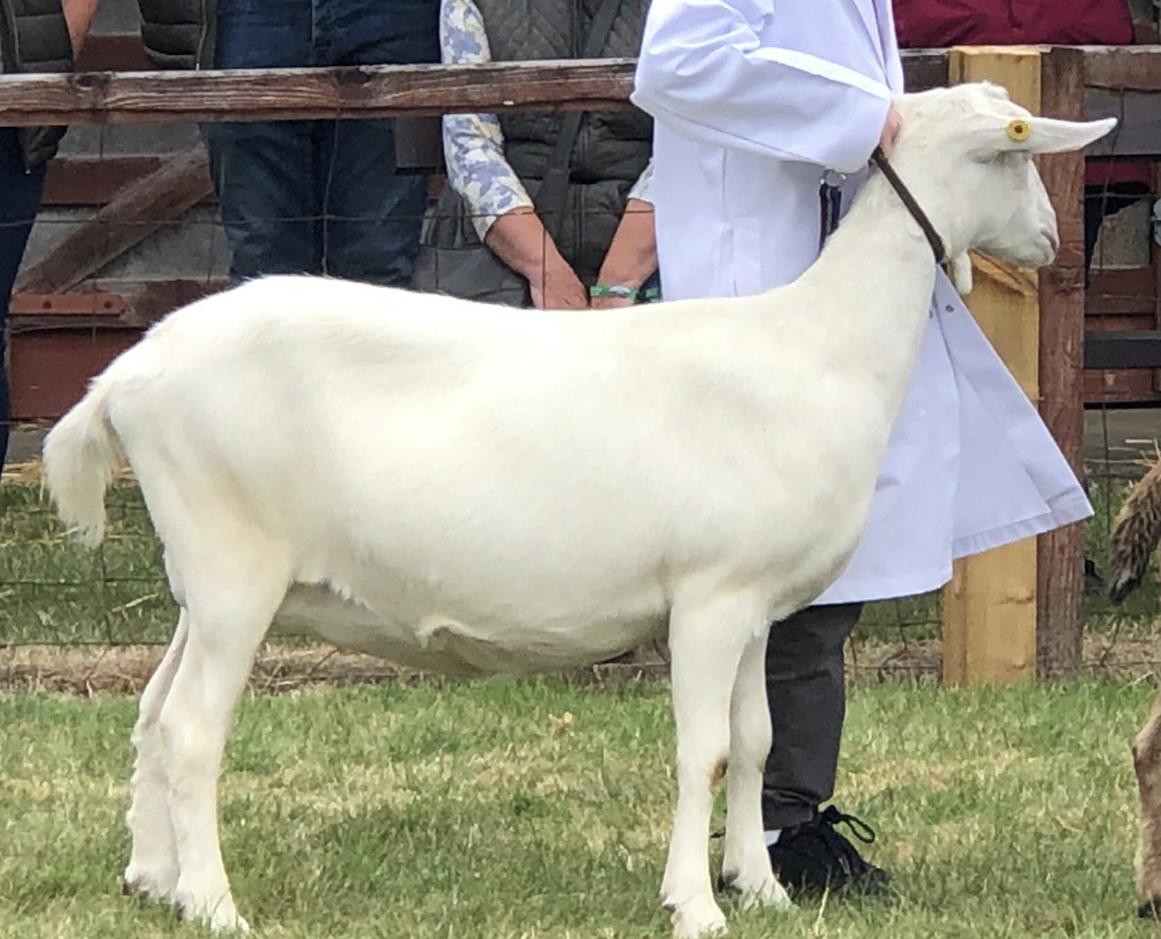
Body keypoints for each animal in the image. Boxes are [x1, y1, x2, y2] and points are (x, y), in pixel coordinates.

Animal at [43, 82, 1112, 938]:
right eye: (1017, 151)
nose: (1053, 243)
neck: (821, 344)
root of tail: (125, 376)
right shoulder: (709, 596)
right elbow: (703, 749)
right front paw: (696, 904)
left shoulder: (755, 602)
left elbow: (756, 740)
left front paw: (760, 887)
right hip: (235, 565)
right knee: (192, 730)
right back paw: (215, 904)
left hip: (203, 577)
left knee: (152, 711)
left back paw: (153, 878)